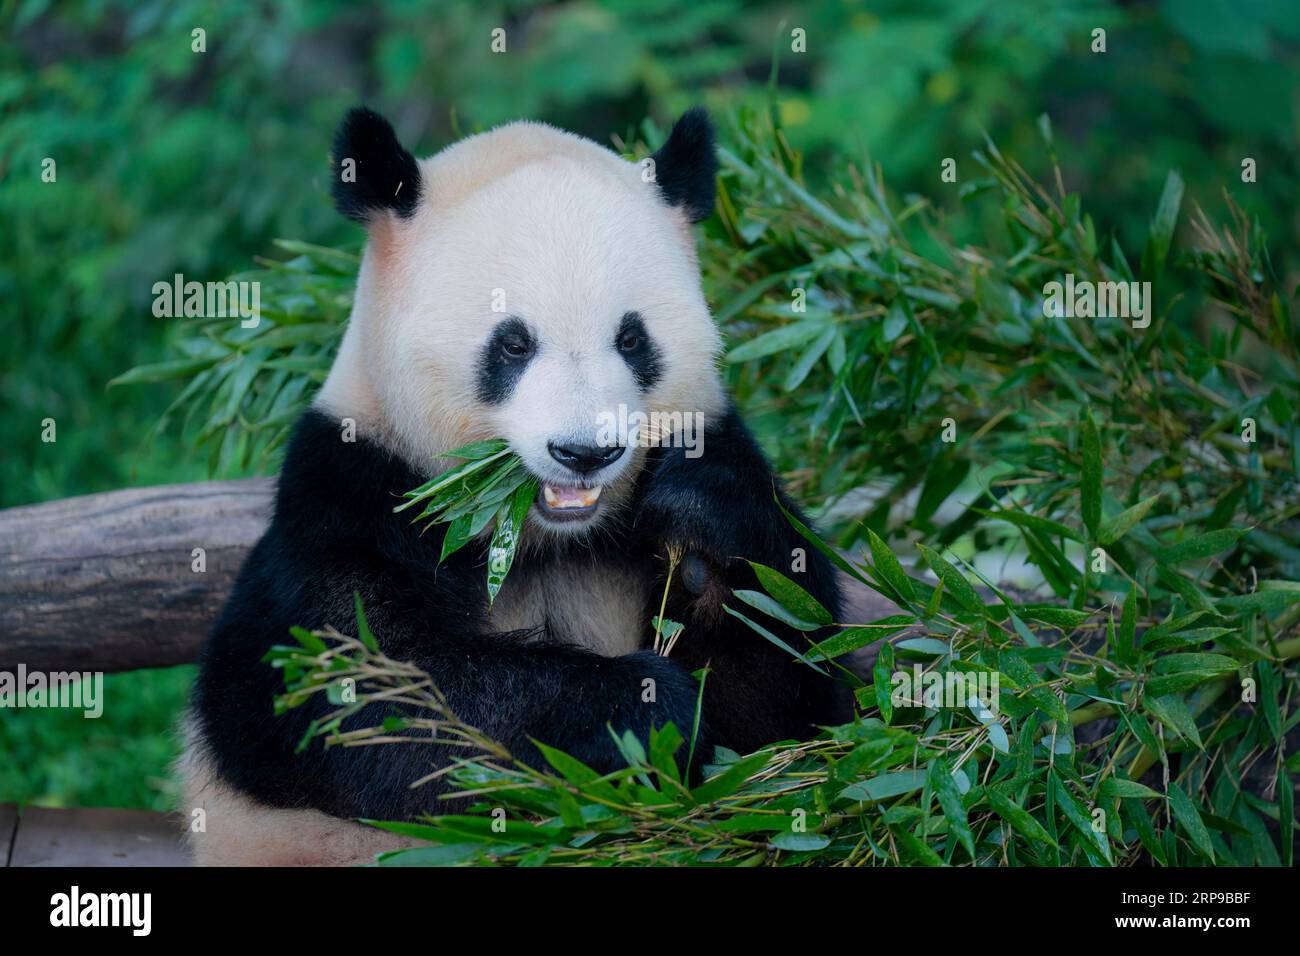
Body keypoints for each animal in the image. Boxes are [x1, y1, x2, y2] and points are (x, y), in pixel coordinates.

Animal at [180, 106, 851, 866]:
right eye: (513, 343)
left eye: (631, 339)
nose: (585, 452)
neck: (545, 537)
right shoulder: (355, 493)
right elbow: (364, 699)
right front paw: (643, 704)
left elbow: (787, 714)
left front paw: (701, 528)